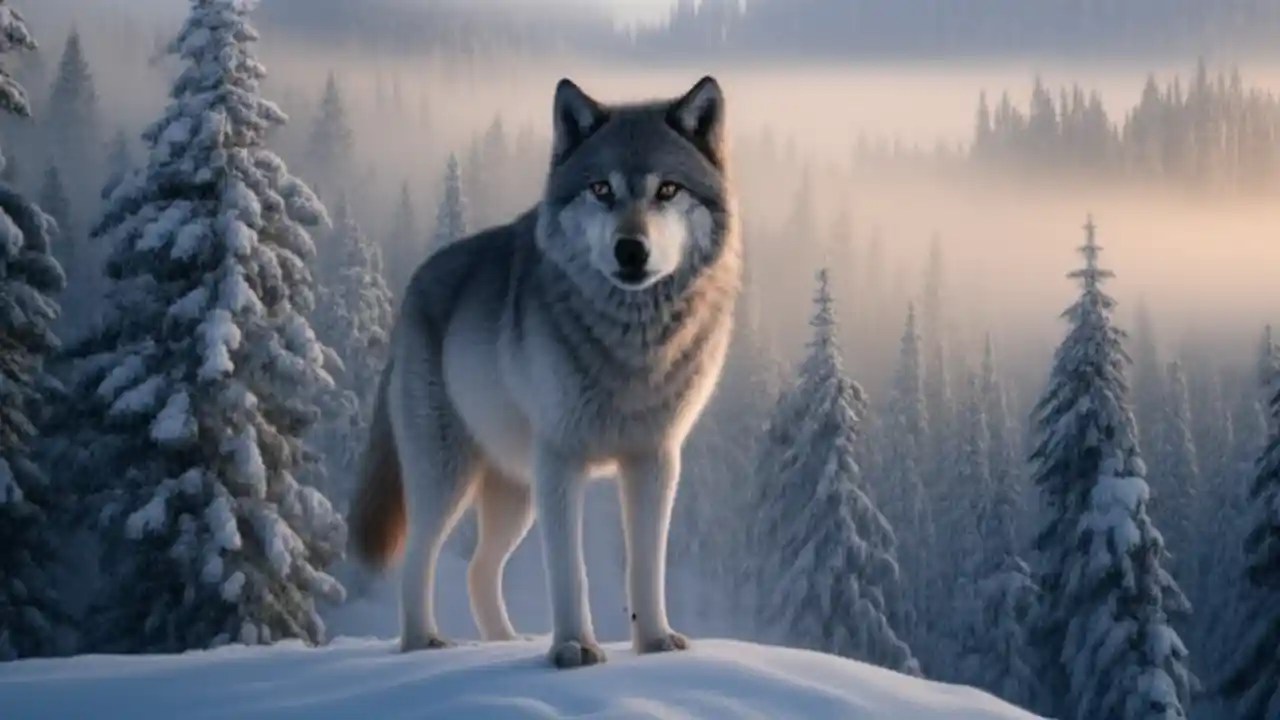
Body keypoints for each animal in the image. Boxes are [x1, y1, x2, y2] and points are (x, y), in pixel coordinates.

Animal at [349, 76, 740, 669]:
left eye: (668, 190)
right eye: (601, 189)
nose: (631, 250)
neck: (632, 345)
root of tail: (416, 282)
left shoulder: (655, 459)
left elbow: (646, 566)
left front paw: (653, 643)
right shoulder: (562, 460)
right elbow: (569, 570)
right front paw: (574, 647)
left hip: (515, 492)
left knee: (478, 568)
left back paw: (505, 643)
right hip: (448, 477)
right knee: (419, 557)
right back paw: (424, 643)